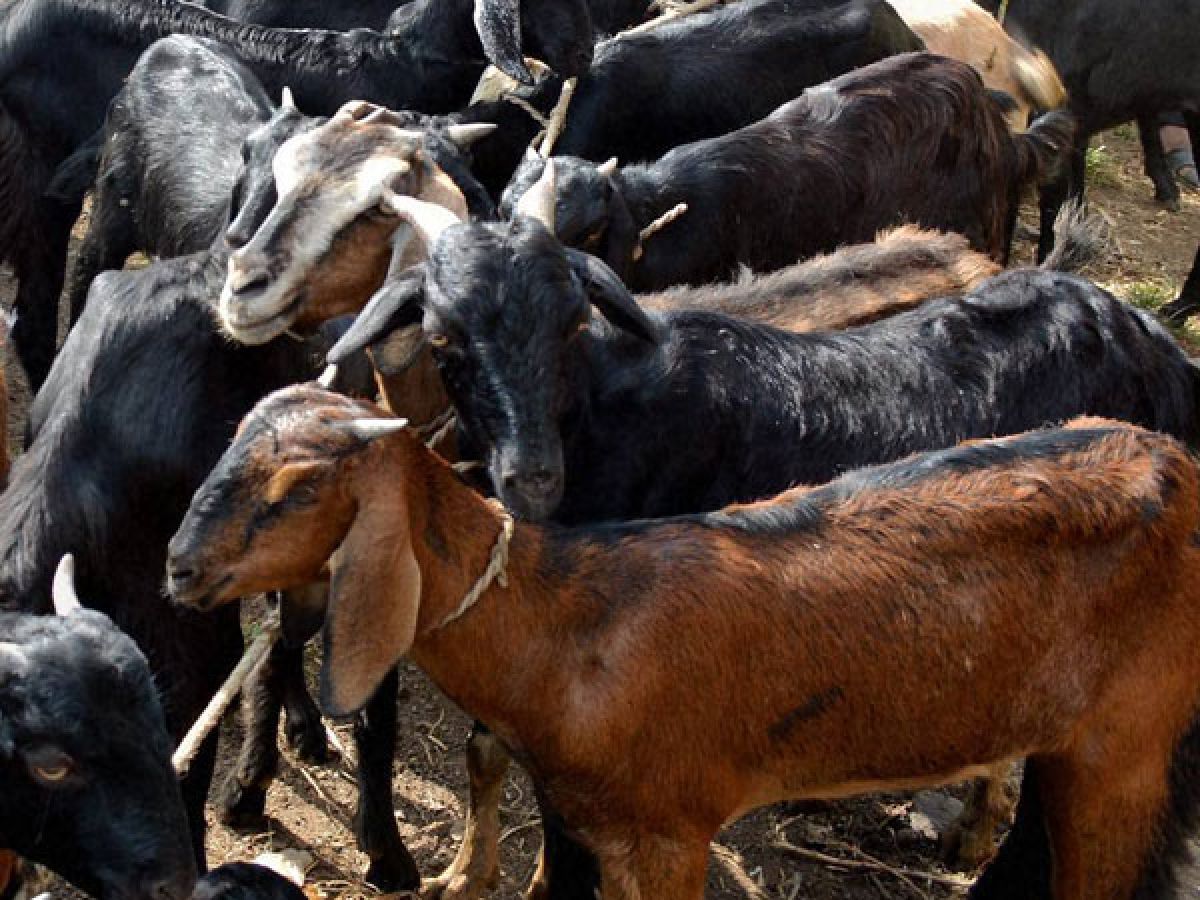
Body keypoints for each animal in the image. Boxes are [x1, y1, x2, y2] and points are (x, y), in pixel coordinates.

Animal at [168, 392, 1200, 900]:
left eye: (299, 487)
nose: (178, 566)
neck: (566, 629)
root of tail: (1174, 462)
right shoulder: (605, 832)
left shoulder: (671, 832)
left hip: (1127, 750)